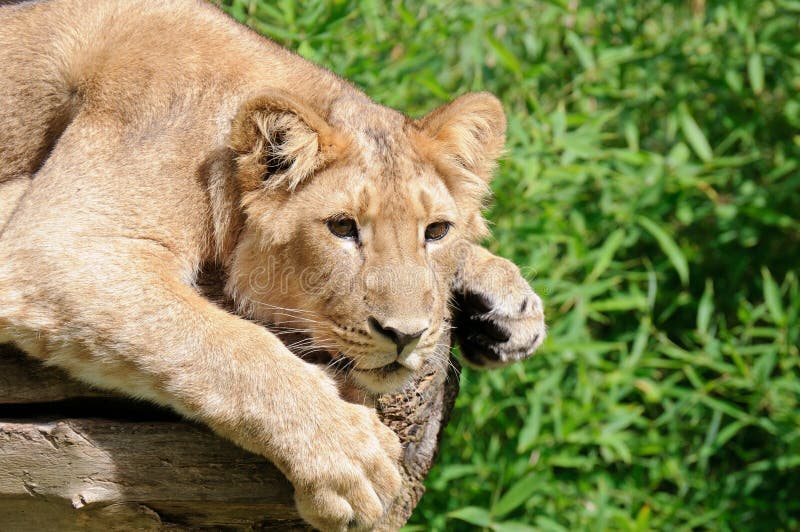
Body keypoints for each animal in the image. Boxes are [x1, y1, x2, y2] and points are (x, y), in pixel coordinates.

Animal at [0, 0, 546, 530]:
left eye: (436, 232)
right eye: (342, 227)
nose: (406, 335)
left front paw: (509, 302)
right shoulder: (58, 245)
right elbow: (230, 343)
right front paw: (348, 455)